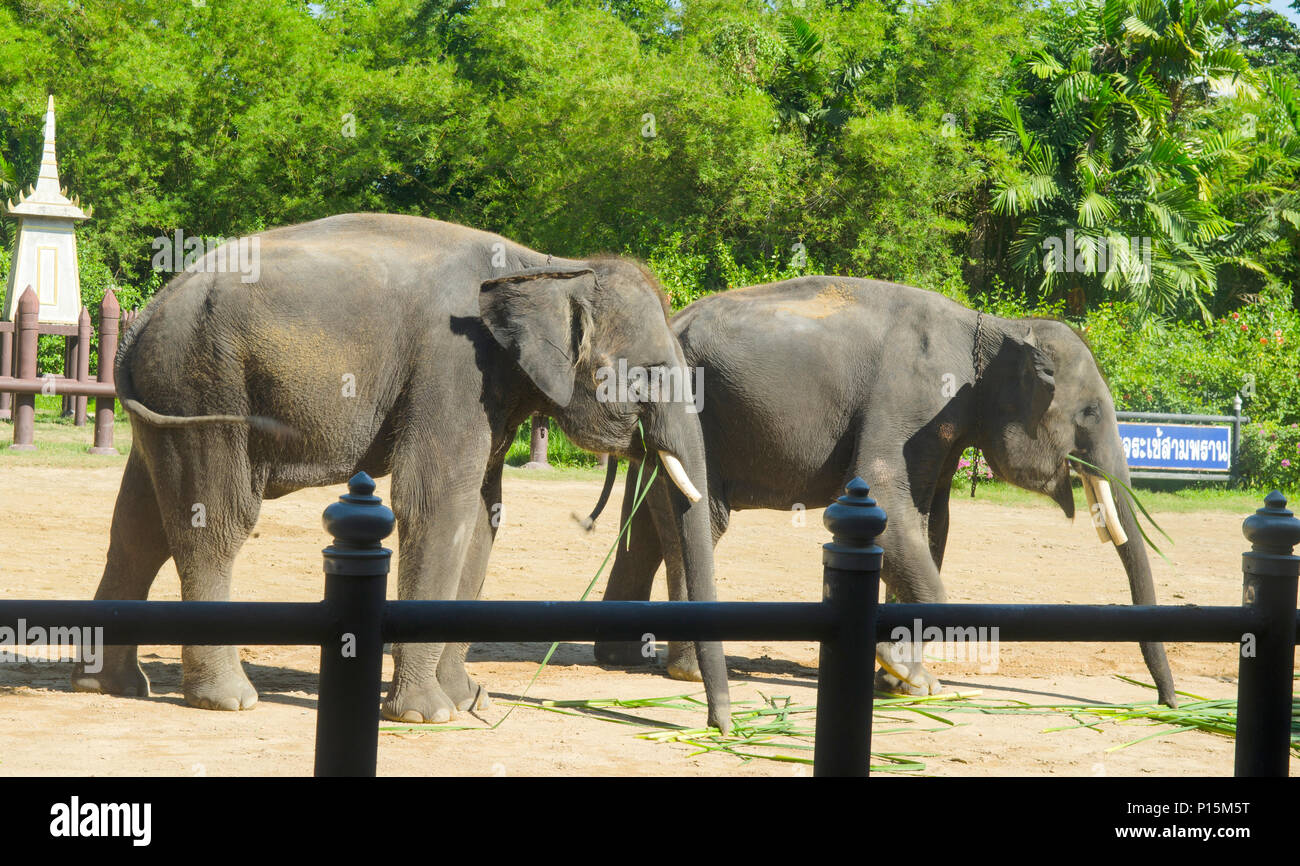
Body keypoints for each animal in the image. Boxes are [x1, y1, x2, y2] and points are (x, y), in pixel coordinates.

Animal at [71, 212, 731, 732]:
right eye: (647, 374)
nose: (719, 728)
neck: (548, 268)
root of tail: (146, 314)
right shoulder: (452, 369)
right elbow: (436, 507)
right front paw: (428, 715)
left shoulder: (490, 392)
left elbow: (482, 520)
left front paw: (469, 703)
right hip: (206, 385)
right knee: (214, 522)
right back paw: (228, 700)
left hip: (169, 393)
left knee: (138, 528)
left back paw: (110, 686)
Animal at [583, 275, 1177, 707]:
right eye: (1090, 413)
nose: (1167, 704)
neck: (994, 329)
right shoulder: (912, 396)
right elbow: (890, 509)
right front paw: (911, 680)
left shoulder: (943, 426)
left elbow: (930, 524)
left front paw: (897, 679)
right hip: (696, 414)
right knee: (702, 519)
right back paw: (686, 672)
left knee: (646, 528)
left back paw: (623, 658)